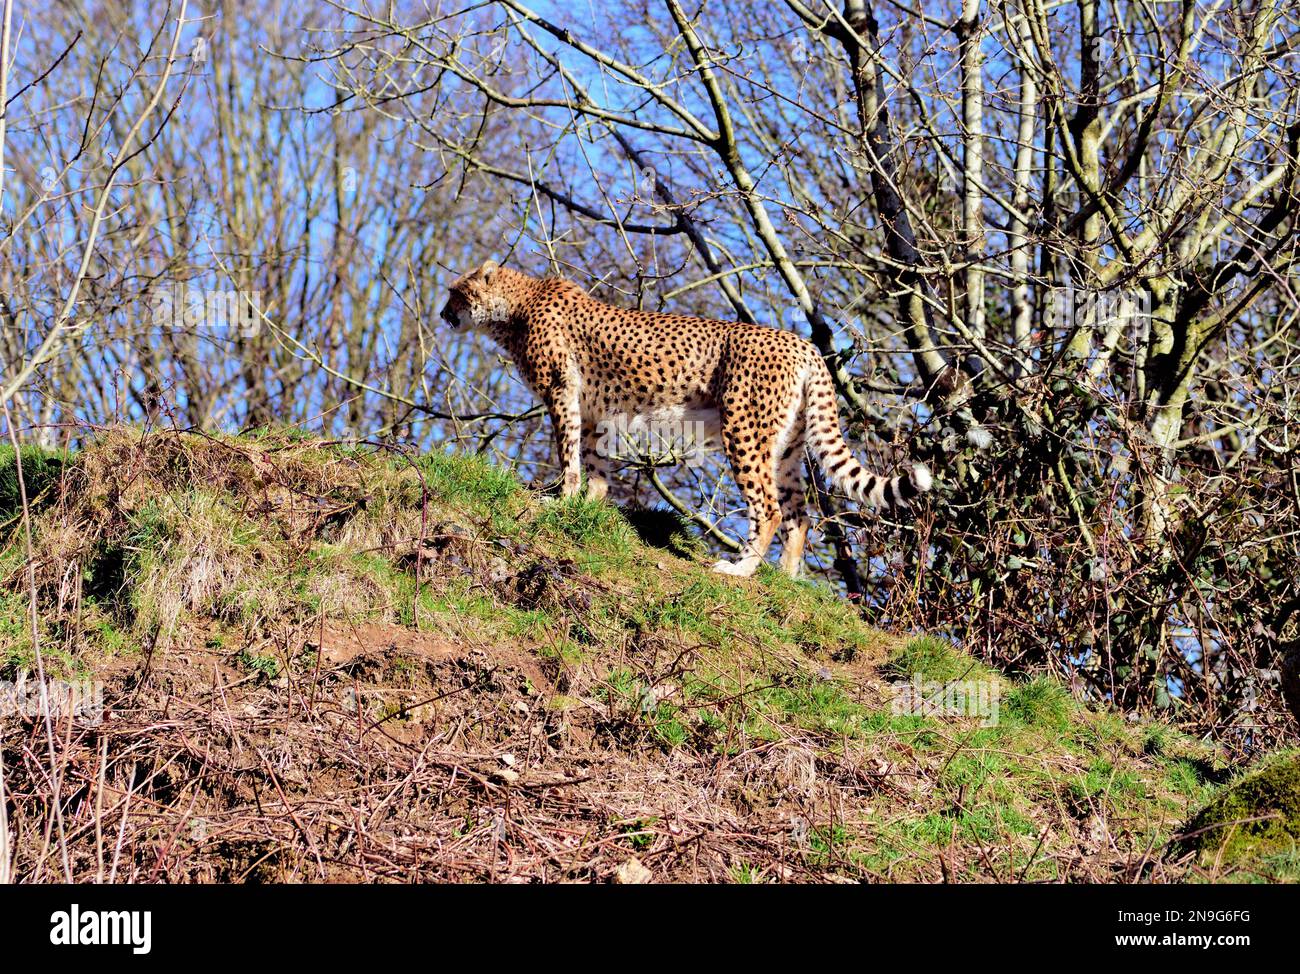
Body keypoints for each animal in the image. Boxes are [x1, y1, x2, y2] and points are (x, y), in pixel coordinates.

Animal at [440, 259, 931, 578]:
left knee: (769, 508)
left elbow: (568, 453)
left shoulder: (563, 393)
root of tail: (803, 343)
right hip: (786, 446)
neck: (515, 307)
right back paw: (785, 578)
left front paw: (561, 498)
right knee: (799, 513)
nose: (444, 315)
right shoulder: (592, 408)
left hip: (743, 430)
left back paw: (742, 569)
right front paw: (588, 503)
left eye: (455, 293)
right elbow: (593, 462)